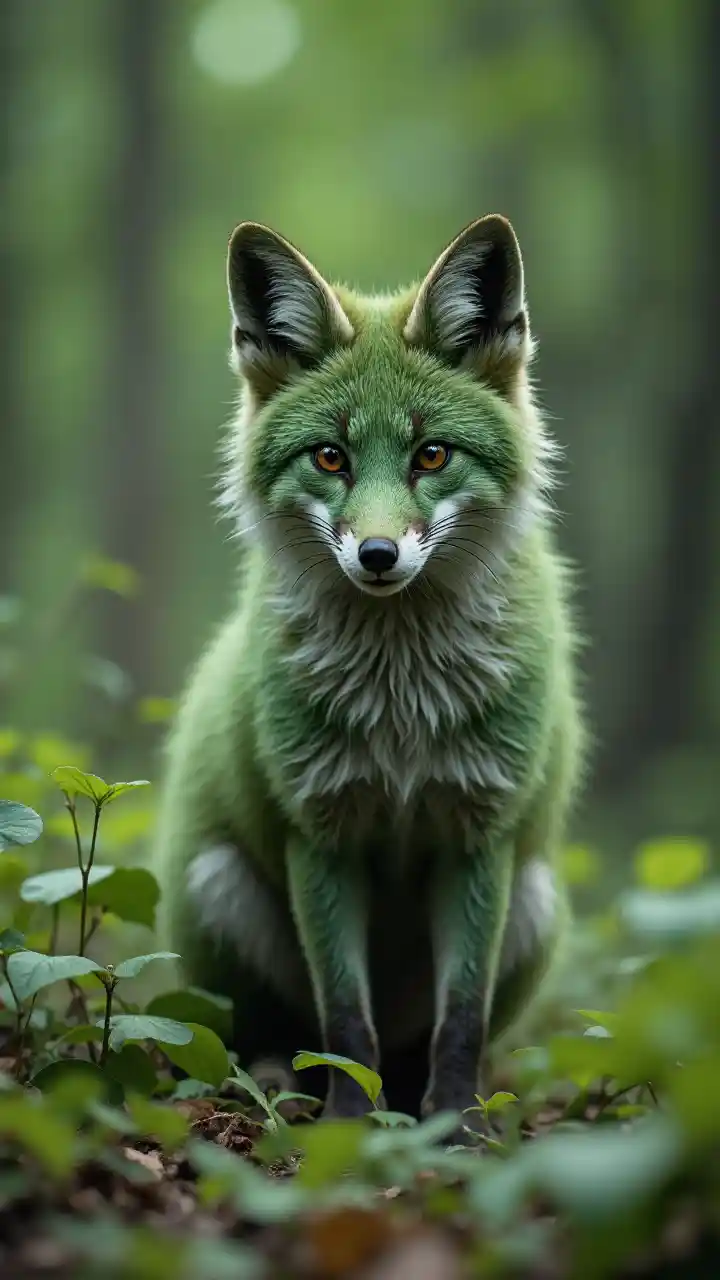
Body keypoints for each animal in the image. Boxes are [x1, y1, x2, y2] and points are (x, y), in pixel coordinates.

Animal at [153, 214, 585, 1137]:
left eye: (431, 456)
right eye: (329, 459)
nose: (379, 555)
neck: (401, 713)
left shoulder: (481, 834)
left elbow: (462, 1019)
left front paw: (457, 1129)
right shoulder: (321, 833)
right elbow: (347, 1021)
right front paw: (351, 1128)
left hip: (535, 897)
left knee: (425, 1042)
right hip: (218, 888)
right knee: (277, 1039)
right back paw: (282, 1086)